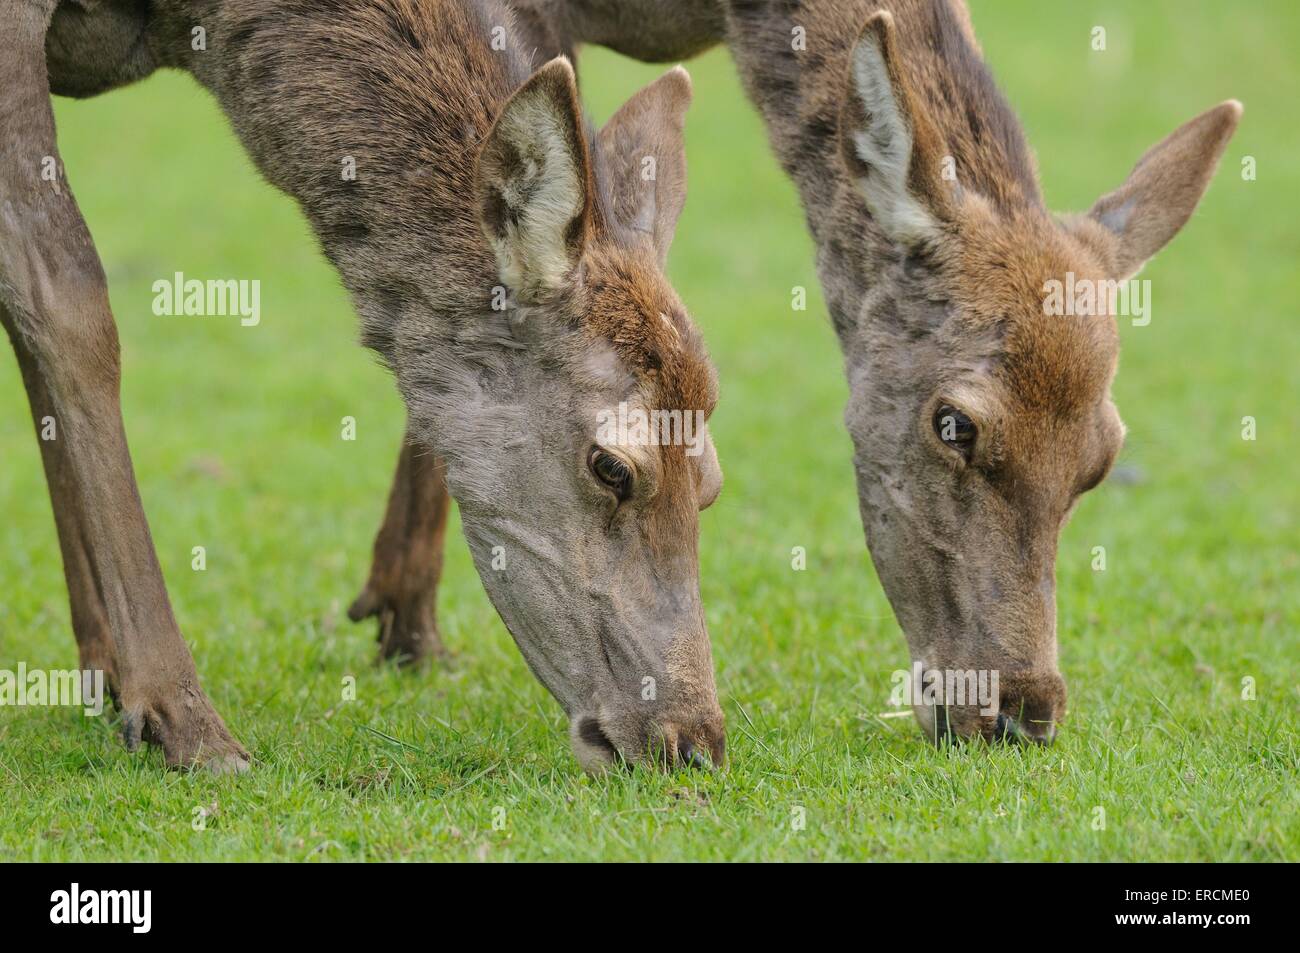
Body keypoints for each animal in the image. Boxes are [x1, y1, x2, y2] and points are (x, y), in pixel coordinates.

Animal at [0, 0, 727, 773]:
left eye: (710, 479)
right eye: (612, 467)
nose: (693, 743)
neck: (189, 26)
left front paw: (105, 670)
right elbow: (67, 302)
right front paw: (182, 719)